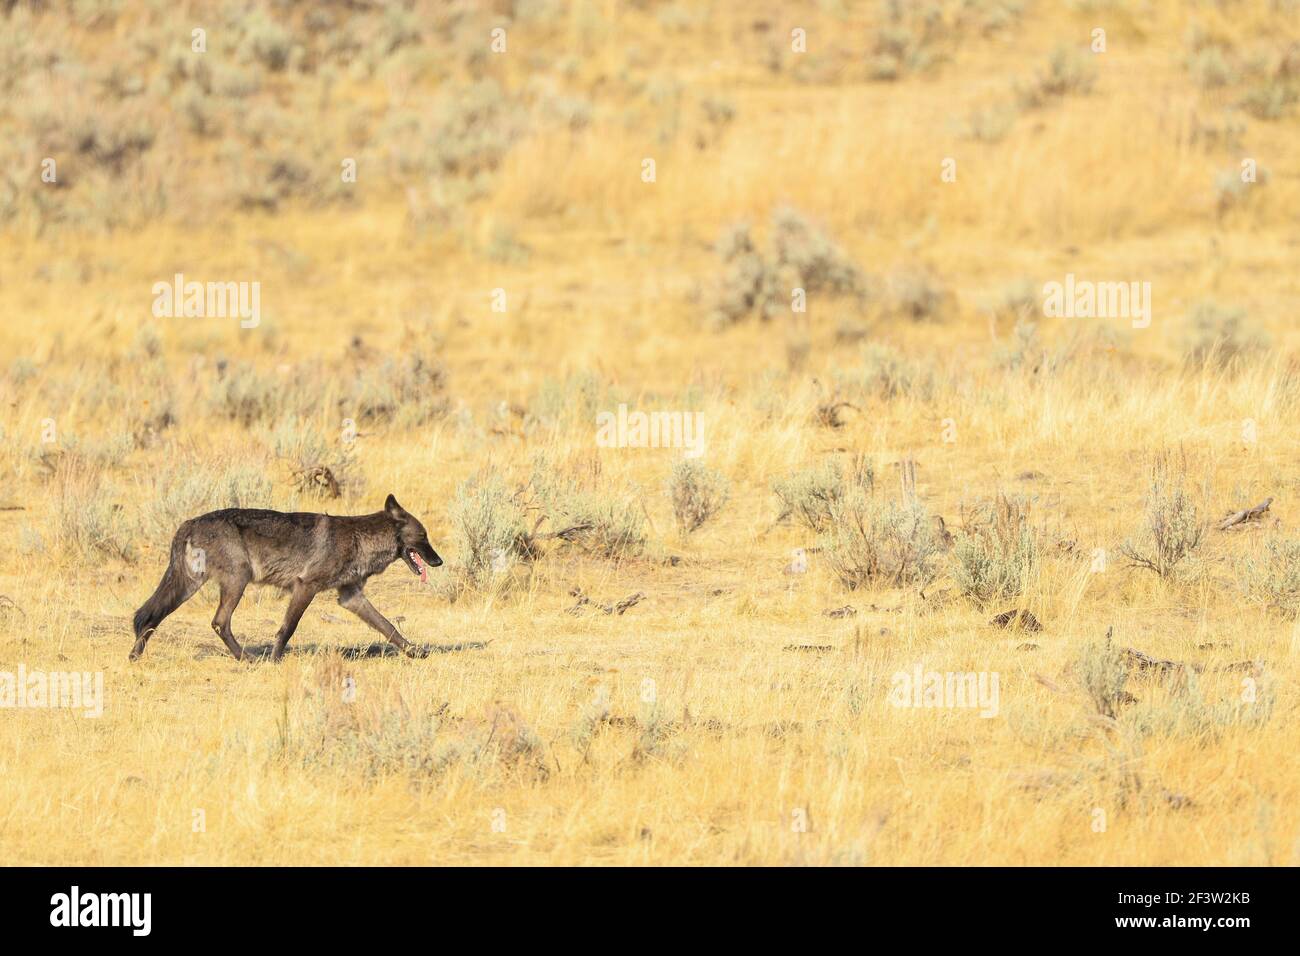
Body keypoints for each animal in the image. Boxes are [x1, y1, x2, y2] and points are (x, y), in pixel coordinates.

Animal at [130, 494, 443, 662]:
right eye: (424, 536)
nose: (439, 561)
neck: (360, 538)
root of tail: (189, 521)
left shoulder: (350, 597)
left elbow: (388, 626)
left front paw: (414, 651)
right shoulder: (305, 587)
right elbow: (287, 629)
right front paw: (274, 660)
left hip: (189, 586)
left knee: (151, 616)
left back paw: (135, 655)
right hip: (236, 580)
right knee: (219, 622)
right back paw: (246, 659)